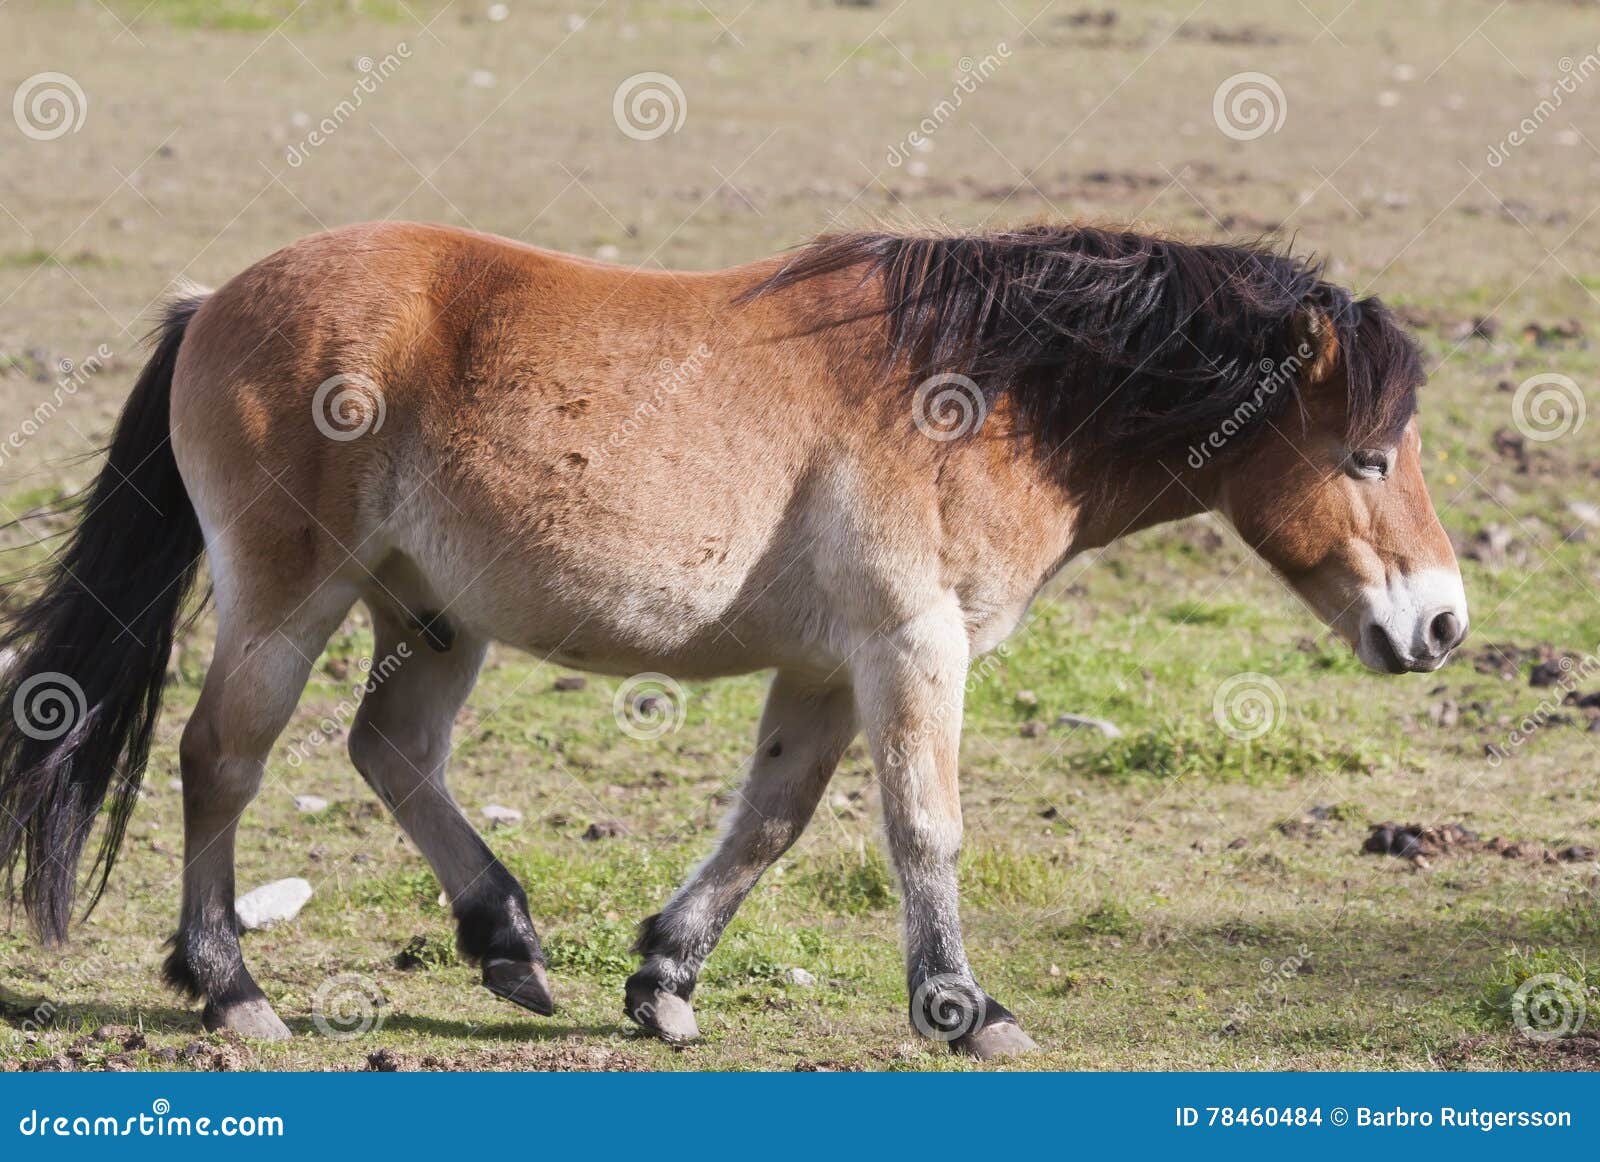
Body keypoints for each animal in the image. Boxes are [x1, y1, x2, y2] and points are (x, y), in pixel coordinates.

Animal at [0, 220, 1467, 1059]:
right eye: (1364, 454)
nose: (1442, 622)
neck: (988, 391)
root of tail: (216, 301)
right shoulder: (910, 649)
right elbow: (922, 829)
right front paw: (965, 1009)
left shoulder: (825, 665)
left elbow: (771, 820)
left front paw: (662, 976)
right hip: (285, 600)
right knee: (222, 761)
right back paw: (231, 986)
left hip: (427, 613)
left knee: (389, 751)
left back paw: (508, 942)